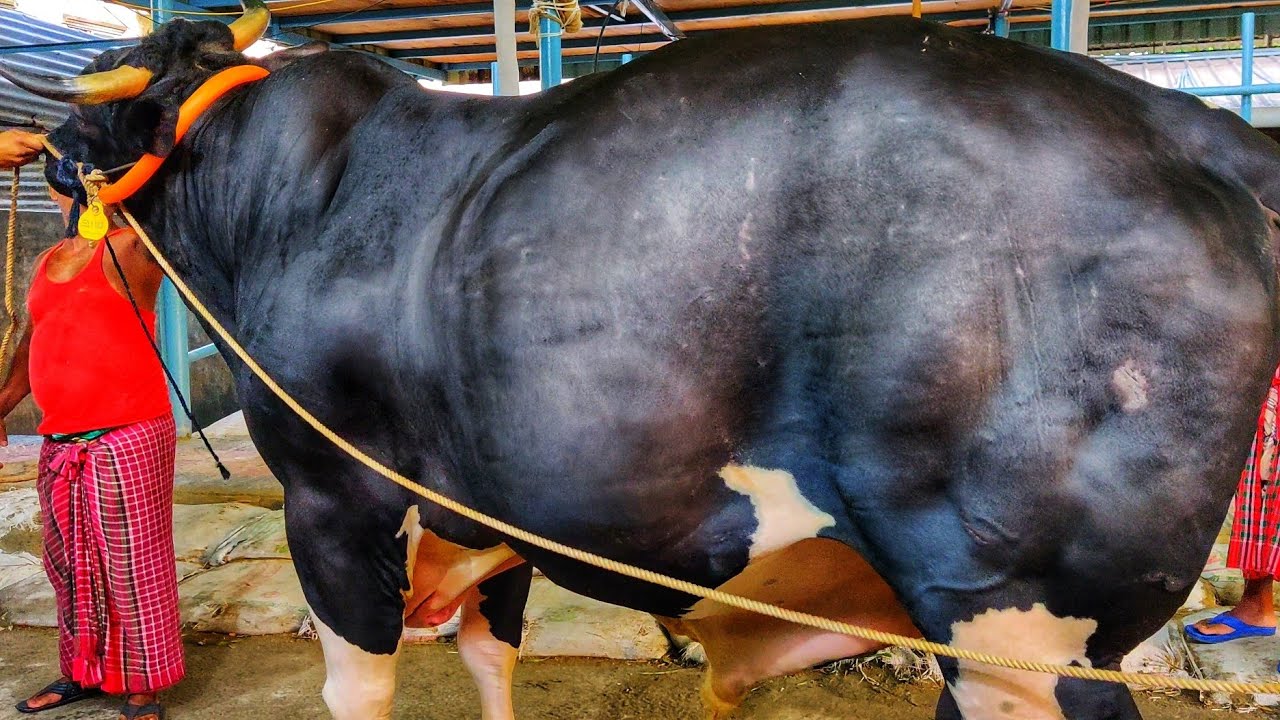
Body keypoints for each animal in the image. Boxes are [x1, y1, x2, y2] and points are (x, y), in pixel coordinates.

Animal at [5, 1, 1280, 717]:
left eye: (111, 114)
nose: (45, 151)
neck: (282, 198)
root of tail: (1188, 125)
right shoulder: (491, 508)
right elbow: (490, 661)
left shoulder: (333, 495)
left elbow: (356, 684)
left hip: (1010, 606)